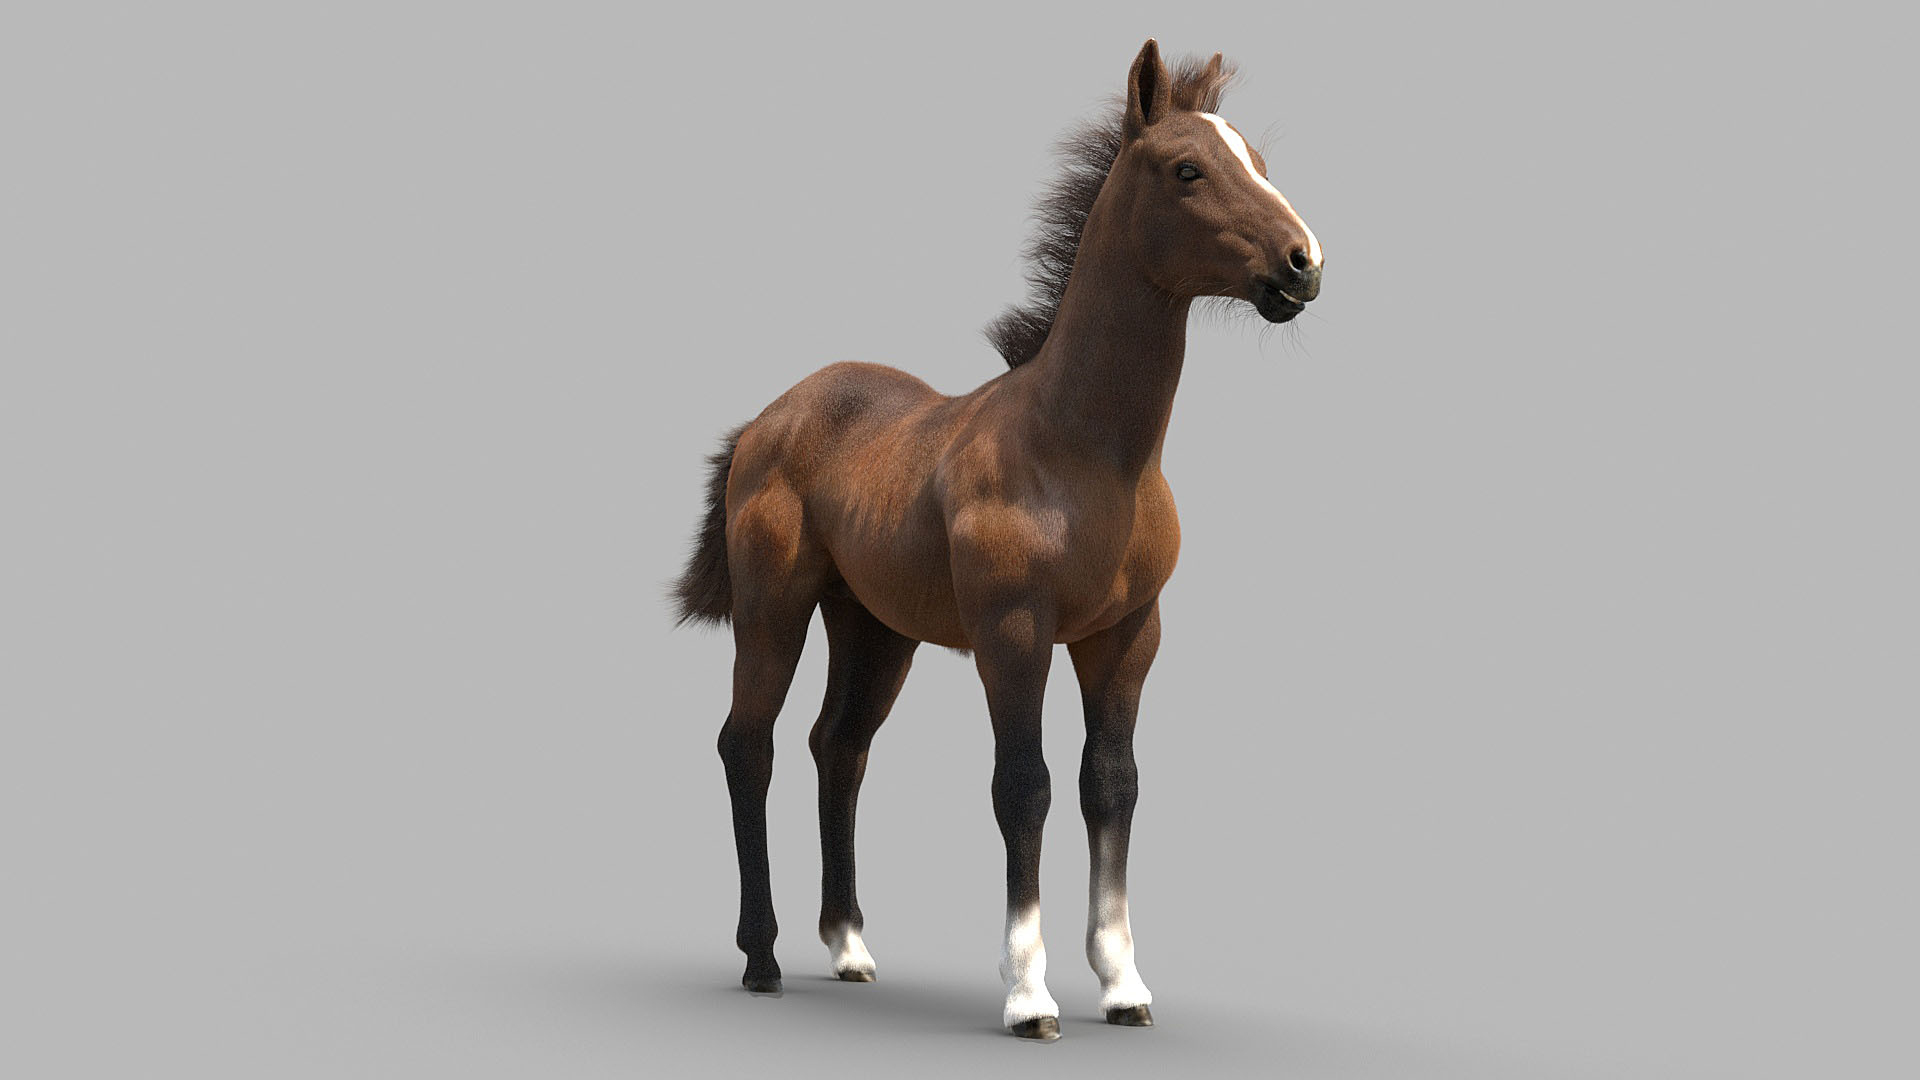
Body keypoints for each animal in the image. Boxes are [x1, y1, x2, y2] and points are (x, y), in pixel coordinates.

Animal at [671, 39, 1323, 1040]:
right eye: (1188, 169)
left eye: (1256, 157)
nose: (1303, 264)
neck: (1083, 451)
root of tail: (767, 420)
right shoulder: (1013, 635)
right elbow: (1025, 785)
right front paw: (1029, 996)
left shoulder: (1128, 636)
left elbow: (1111, 784)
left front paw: (1123, 986)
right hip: (774, 608)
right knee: (750, 743)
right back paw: (763, 958)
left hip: (875, 629)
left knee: (839, 747)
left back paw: (849, 946)